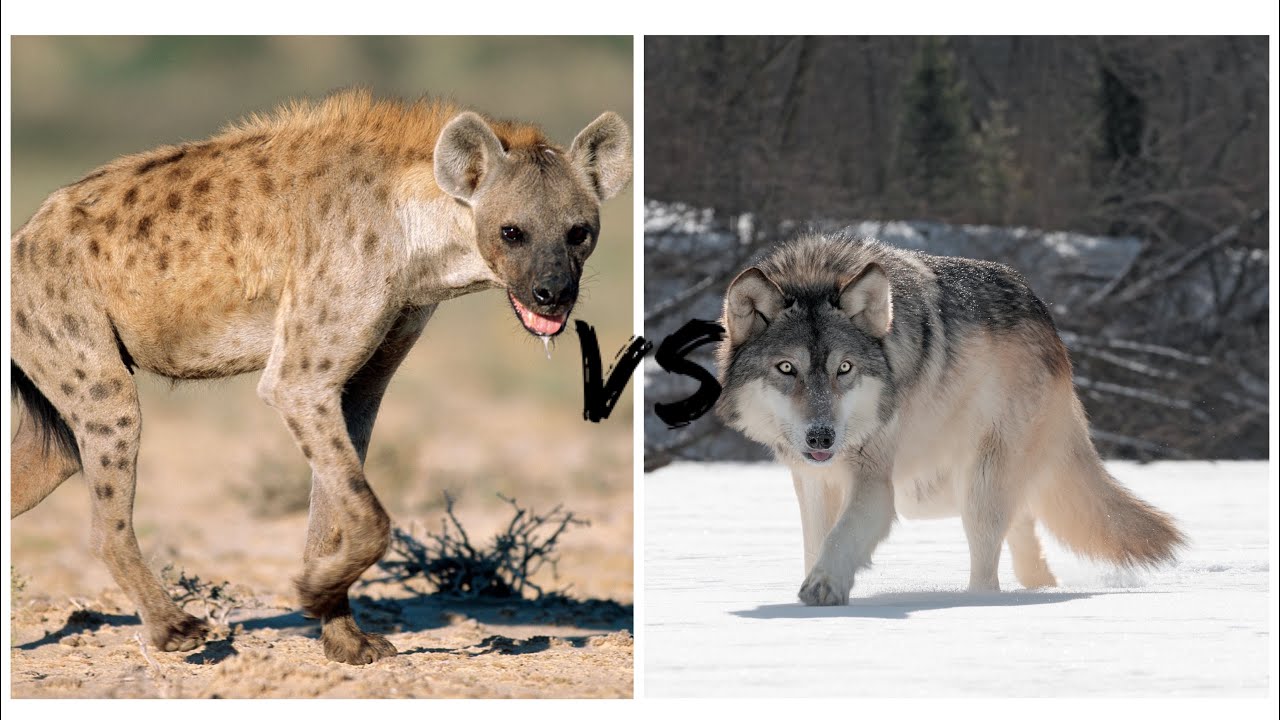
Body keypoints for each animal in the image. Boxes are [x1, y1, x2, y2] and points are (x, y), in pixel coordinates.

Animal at [9, 90, 631, 663]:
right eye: (511, 232)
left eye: (578, 232)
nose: (552, 293)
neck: (416, 239)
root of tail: (23, 235)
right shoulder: (300, 380)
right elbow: (370, 514)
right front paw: (312, 595)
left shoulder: (361, 379)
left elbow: (334, 508)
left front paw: (343, 634)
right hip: (89, 364)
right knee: (105, 499)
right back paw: (174, 628)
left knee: (49, 458)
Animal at [715, 231, 1184, 605]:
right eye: (786, 368)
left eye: (844, 368)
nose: (822, 438)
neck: (817, 272)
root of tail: (1051, 327)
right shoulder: (813, 482)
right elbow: (818, 541)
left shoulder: (874, 482)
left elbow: (842, 538)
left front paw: (823, 587)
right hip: (936, 490)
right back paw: (1038, 589)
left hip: (975, 485)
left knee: (989, 566)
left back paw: (979, 603)